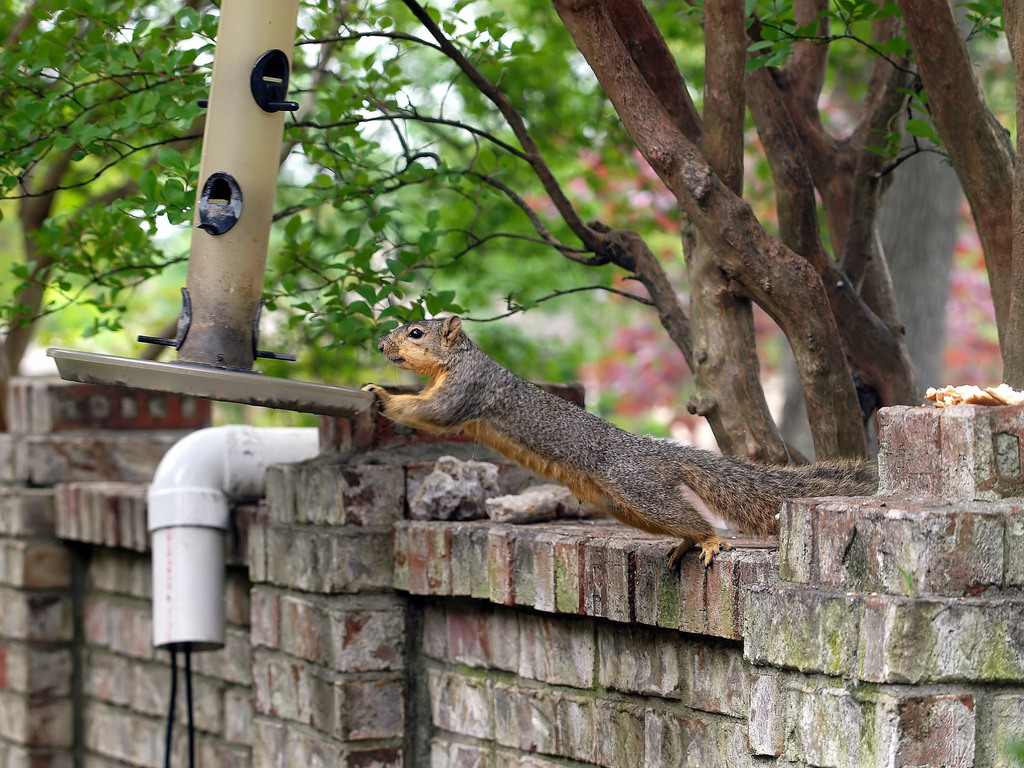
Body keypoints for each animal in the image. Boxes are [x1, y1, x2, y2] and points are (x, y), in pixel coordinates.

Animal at [362, 315, 877, 566]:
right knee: (679, 521)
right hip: (623, 504)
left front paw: (384, 398)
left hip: (635, 487)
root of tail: (648, 449)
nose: (381, 347)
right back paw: (687, 544)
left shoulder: (467, 389)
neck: (455, 361)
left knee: (688, 516)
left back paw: (710, 540)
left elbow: (432, 413)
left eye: (415, 333)